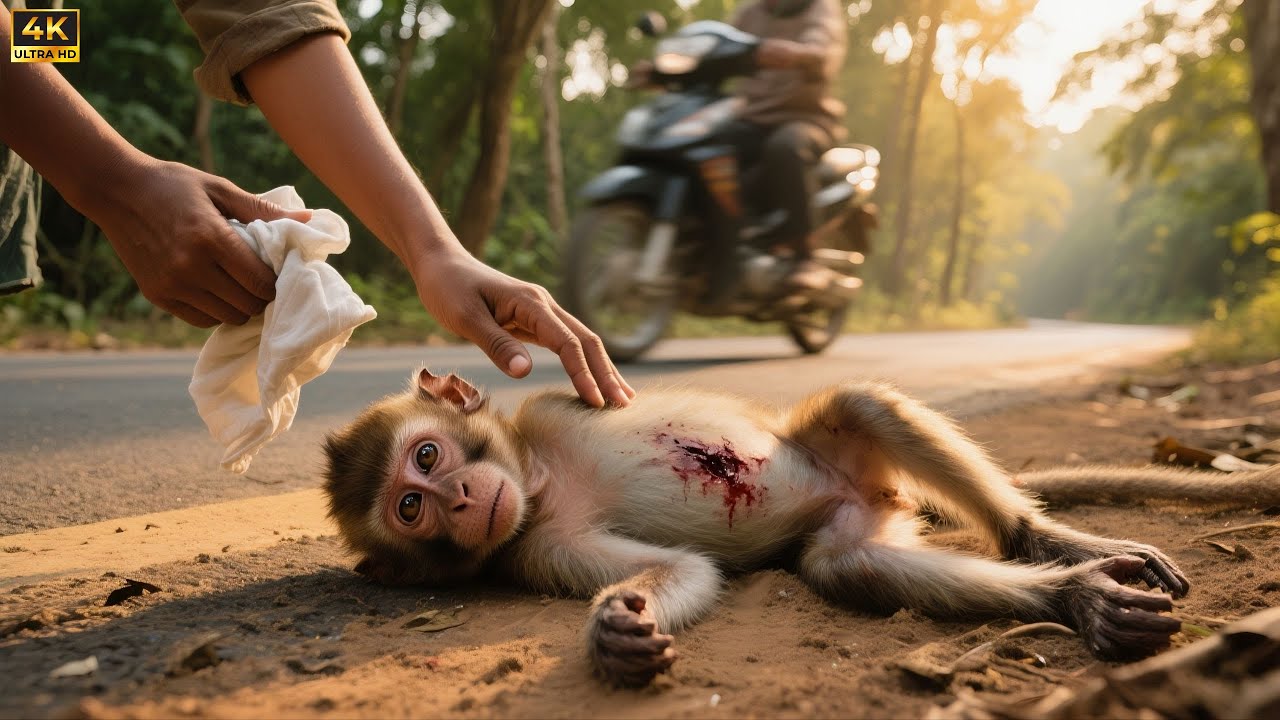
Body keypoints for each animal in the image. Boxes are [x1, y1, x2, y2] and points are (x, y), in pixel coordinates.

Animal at [321, 368, 1280, 687]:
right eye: (409, 509)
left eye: (430, 458)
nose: (456, 501)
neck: (542, 479)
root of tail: (876, 496)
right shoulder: (536, 545)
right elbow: (686, 570)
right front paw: (617, 629)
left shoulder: (546, 417)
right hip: (853, 525)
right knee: (851, 567)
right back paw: (1079, 597)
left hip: (847, 456)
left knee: (863, 405)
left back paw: (1047, 545)